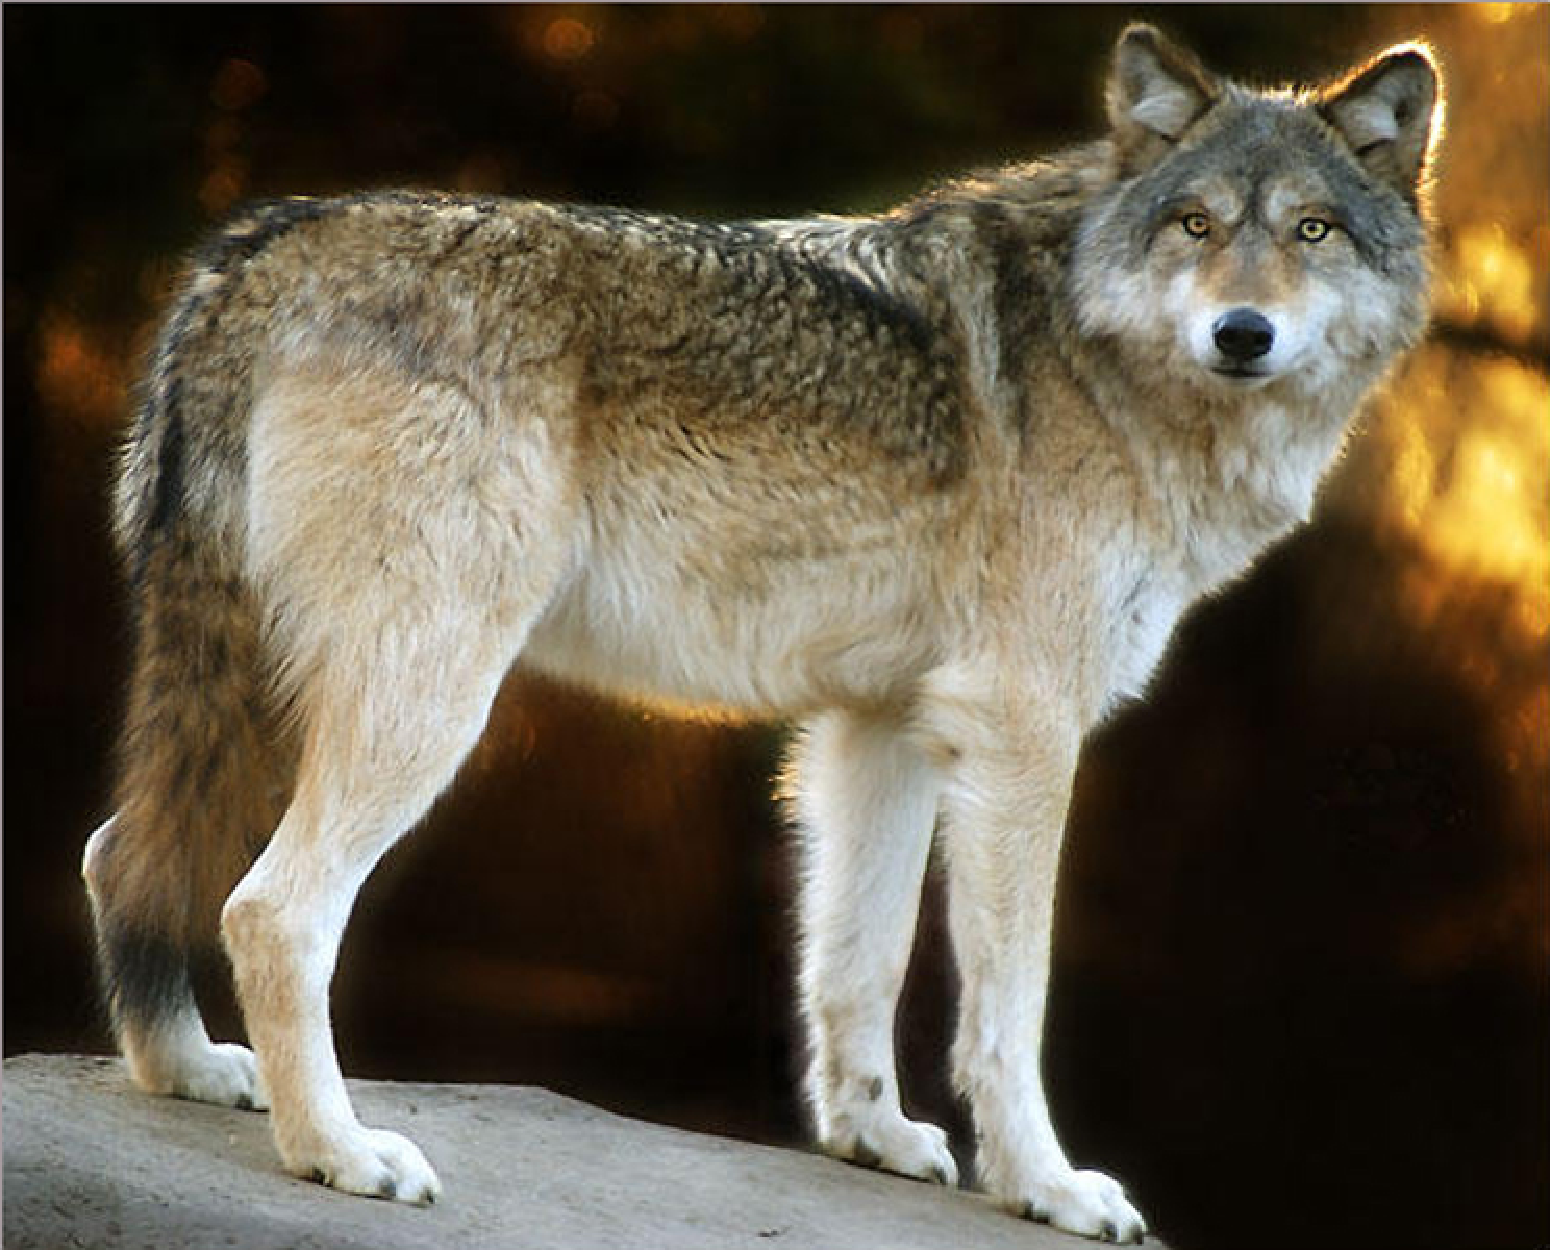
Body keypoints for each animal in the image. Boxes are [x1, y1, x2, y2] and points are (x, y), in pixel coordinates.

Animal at [82, 24, 1440, 1243]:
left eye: (1310, 230)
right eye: (1195, 225)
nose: (1241, 334)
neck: (1100, 356)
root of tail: (260, 244)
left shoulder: (882, 726)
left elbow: (857, 958)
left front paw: (869, 1136)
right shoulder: (1019, 730)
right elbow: (1009, 1000)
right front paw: (1046, 1185)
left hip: (268, 689)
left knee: (119, 854)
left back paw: (190, 1069)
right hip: (425, 699)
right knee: (270, 908)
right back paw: (340, 1151)